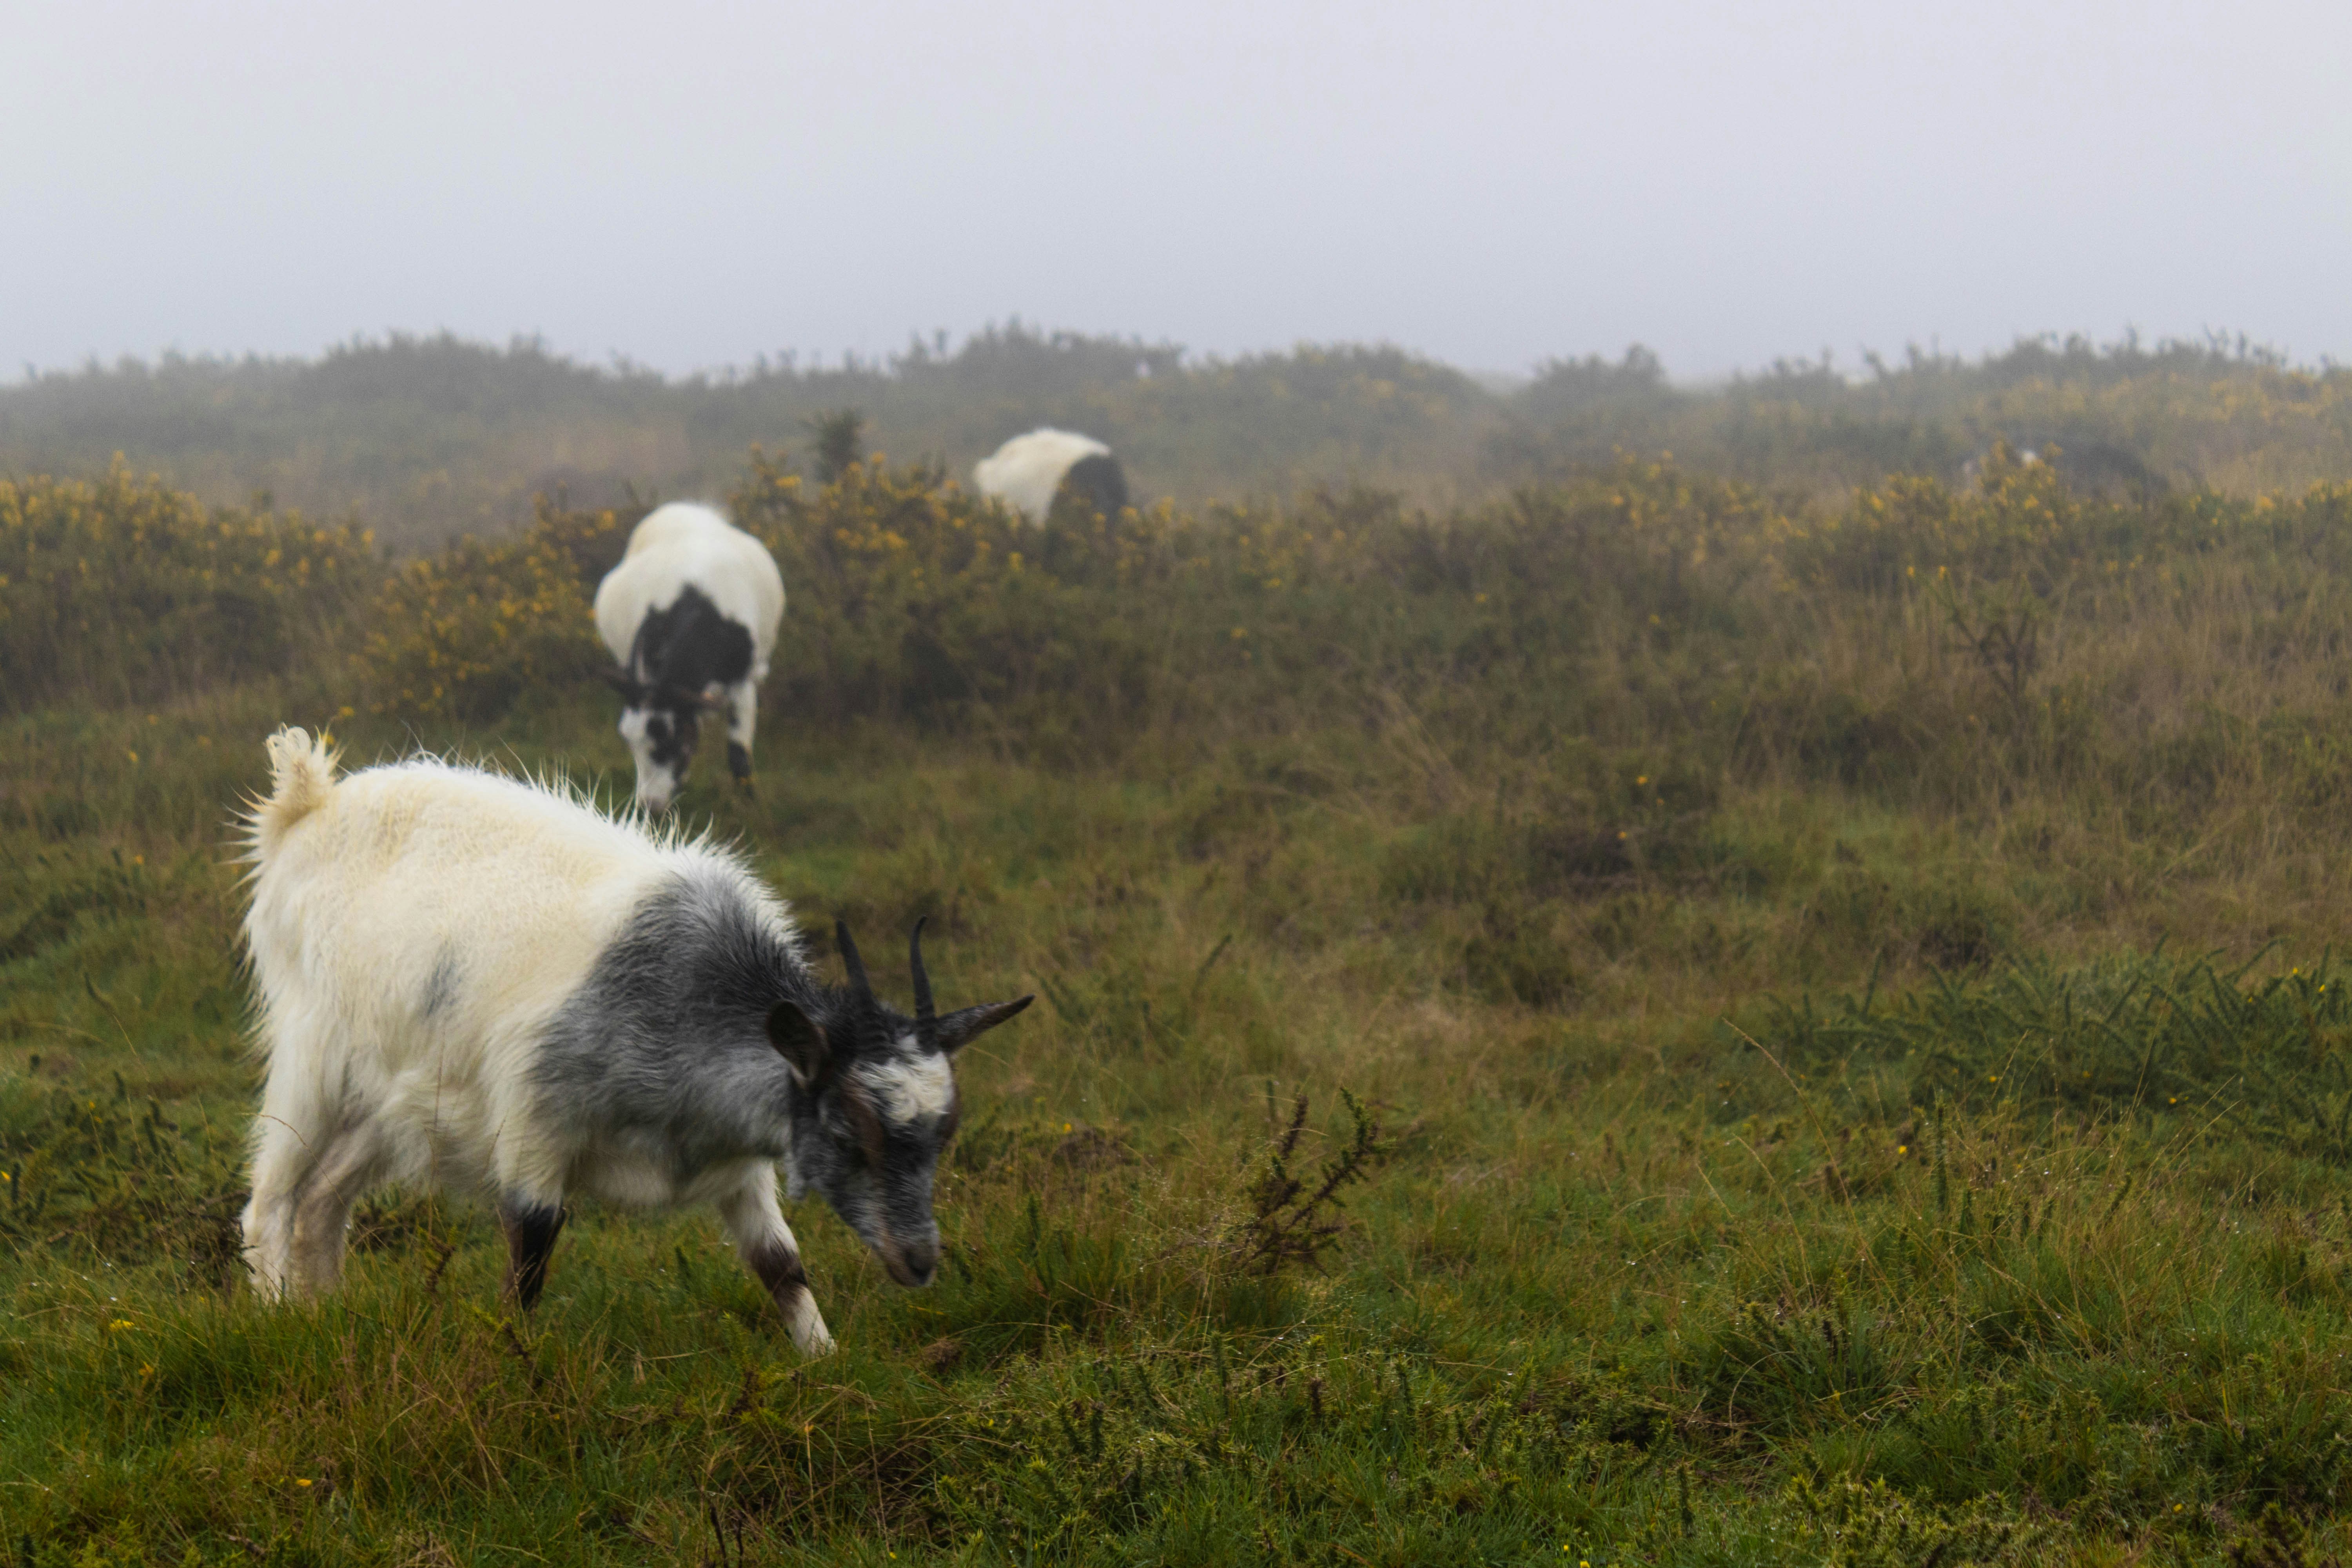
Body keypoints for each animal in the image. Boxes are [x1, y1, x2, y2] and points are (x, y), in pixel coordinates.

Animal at [237, 727, 1029, 1355]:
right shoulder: (535, 1129)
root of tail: (309, 804)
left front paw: (824, 1359)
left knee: (324, 1200)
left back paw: (329, 1313)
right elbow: (529, 1259)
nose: (919, 1261)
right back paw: (280, 1318)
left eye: (943, 1133)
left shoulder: (740, 1164)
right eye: (846, 1130)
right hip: (313, 1058)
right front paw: (515, 1367)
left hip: (391, 1102)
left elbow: (781, 1264)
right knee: (272, 1198)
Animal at [593, 502, 785, 813]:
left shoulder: (743, 680)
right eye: (629, 742)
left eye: (669, 740)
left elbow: (738, 753)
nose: (648, 807)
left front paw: (750, 805)